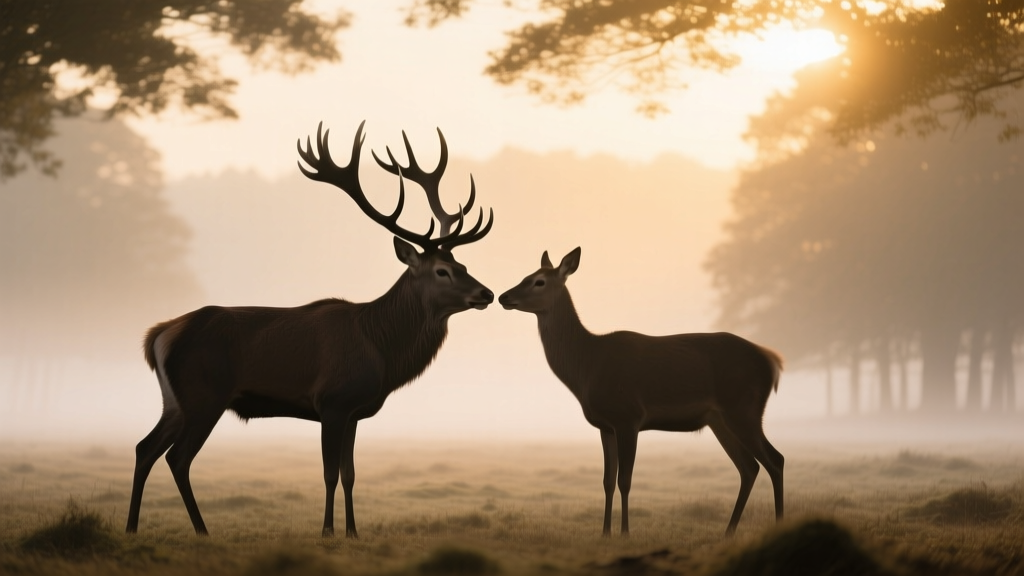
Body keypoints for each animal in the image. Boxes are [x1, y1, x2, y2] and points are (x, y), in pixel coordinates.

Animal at [125, 121, 495, 538]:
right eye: (442, 271)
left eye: (462, 264)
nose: (487, 293)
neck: (381, 350)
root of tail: (158, 335)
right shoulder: (332, 401)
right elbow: (329, 473)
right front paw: (327, 531)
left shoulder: (354, 412)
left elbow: (350, 474)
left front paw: (353, 532)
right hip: (204, 394)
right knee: (177, 458)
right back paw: (201, 530)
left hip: (174, 400)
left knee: (144, 448)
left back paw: (132, 527)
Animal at [498, 247, 784, 536]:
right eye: (527, 275)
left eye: (539, 281)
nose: (503, 296)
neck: (588, 366)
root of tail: (772, 361)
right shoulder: (606, 426)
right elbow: (607, 481)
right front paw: (605, 533)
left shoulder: (629, 417)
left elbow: (625, 480)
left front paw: (625, 532)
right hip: (720, 419)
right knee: (749, 467)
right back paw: (729, 531)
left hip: (744, 408)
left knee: (775, 459)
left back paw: (778, 523)